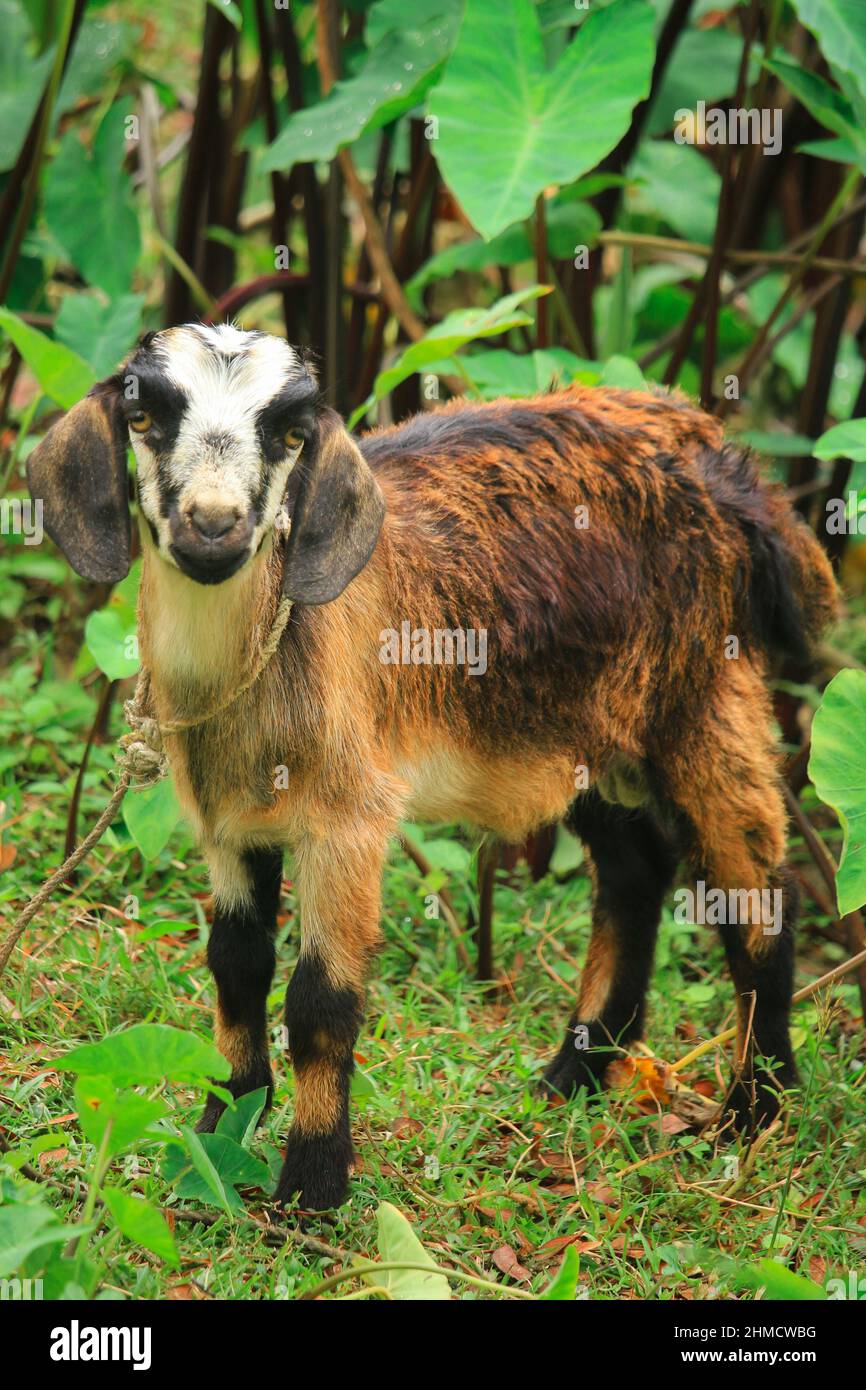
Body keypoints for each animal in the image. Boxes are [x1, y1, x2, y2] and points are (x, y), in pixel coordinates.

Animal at [28, 322, 839, 1211]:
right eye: (143, 415)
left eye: (290, 434)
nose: (214, 526)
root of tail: (724, 459)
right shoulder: (229, 824)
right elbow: (236, 967)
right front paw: (220, 1136)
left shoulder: (350, 818)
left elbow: (321, 1000)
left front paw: (311, 1185)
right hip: (584, 727)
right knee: (635, 872)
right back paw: (573, 1073)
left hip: (704, 694)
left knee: (756, 889)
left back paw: (753, 1110)